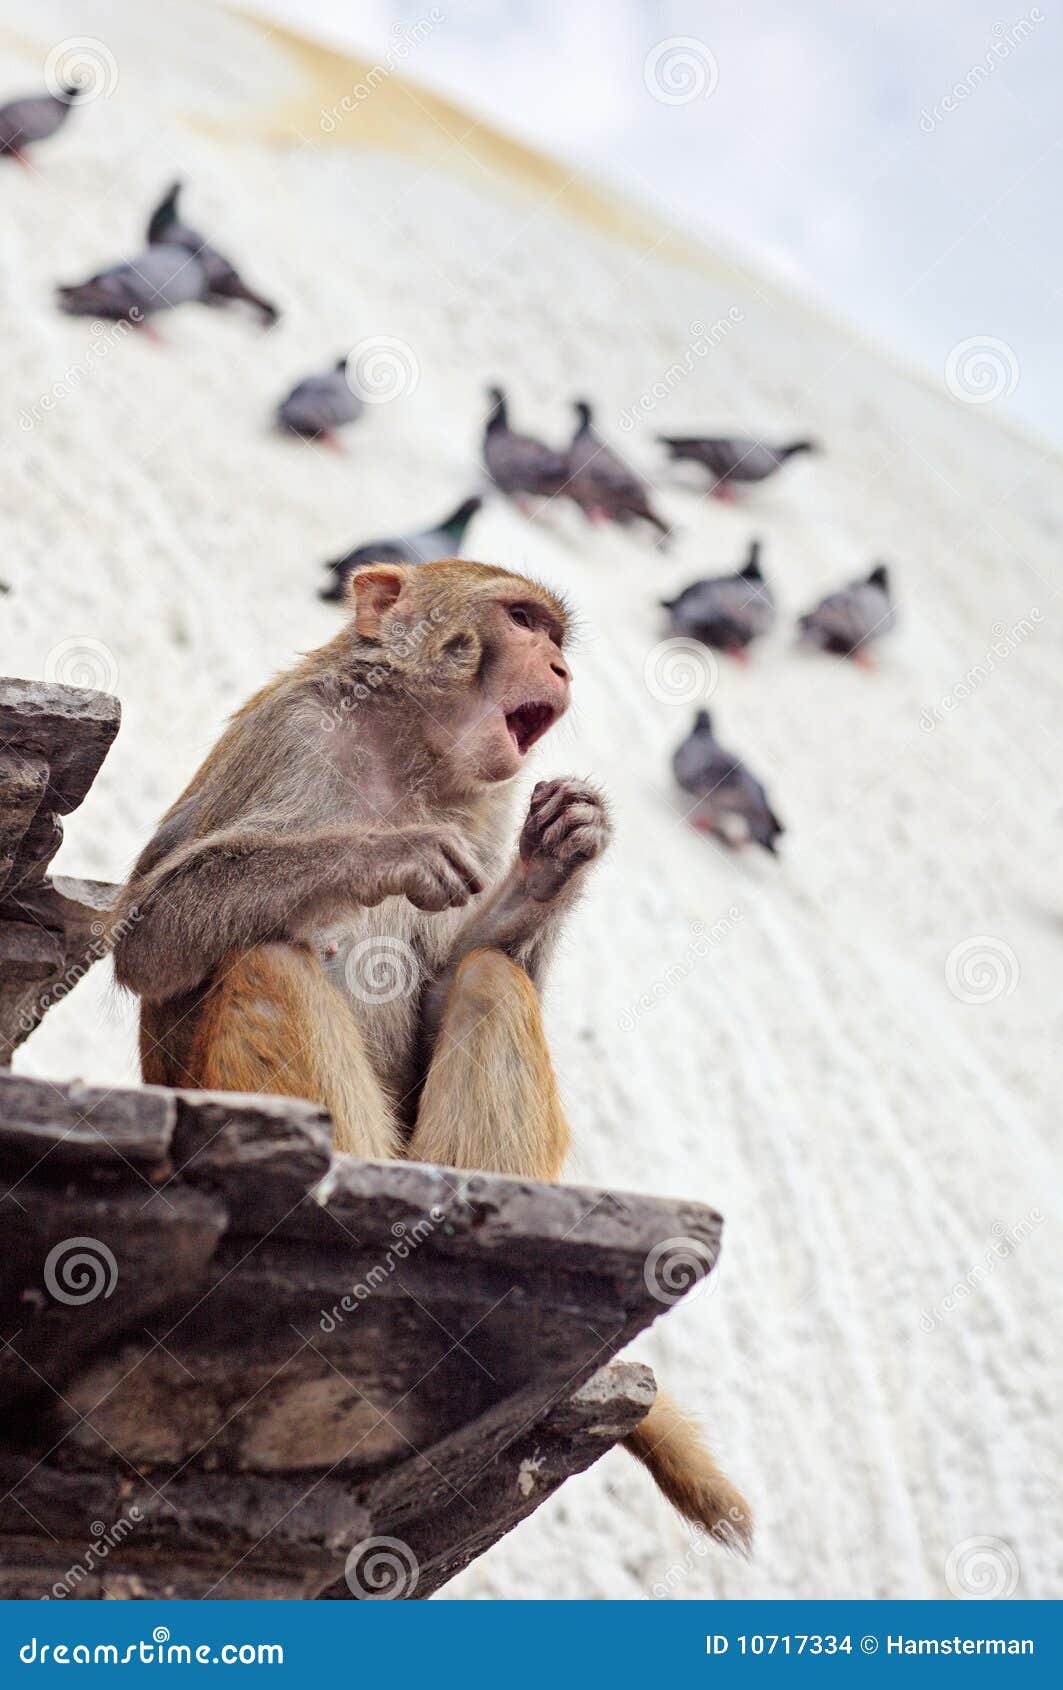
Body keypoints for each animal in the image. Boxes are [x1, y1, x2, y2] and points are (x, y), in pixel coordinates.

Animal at [111, 557, 752, 1554]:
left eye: (552, 637)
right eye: (522, 621)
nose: (560, 669)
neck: (404, 750)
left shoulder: (487, 805)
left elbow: (453, 978)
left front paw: (555, 862)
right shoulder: (288, 731)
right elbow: (150, 934)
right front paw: (383, 852)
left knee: (490, 981)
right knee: (268, 960)